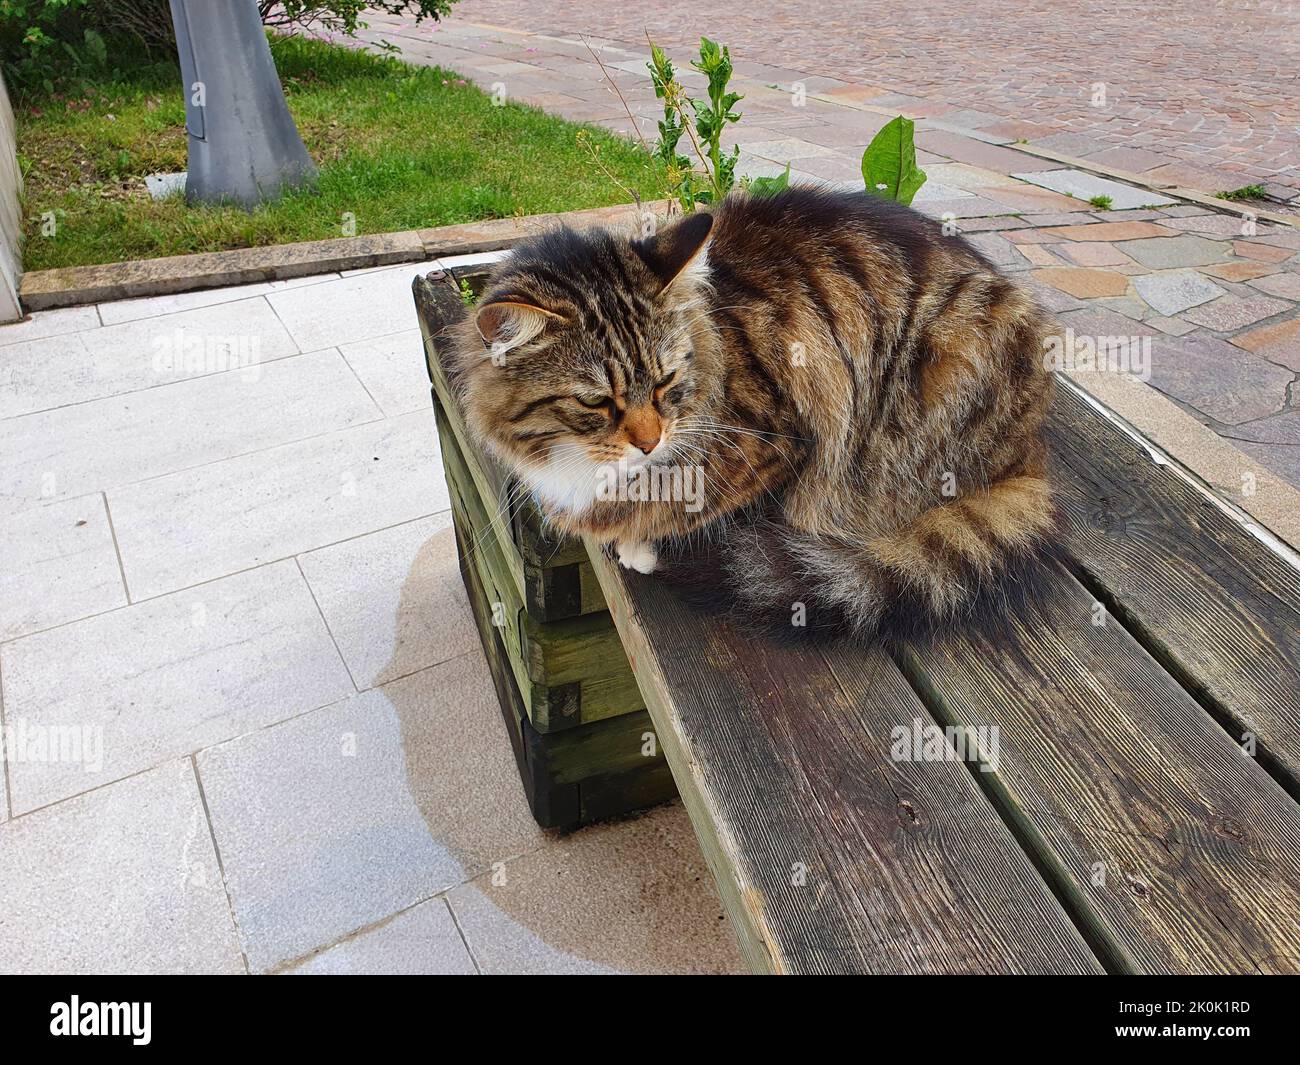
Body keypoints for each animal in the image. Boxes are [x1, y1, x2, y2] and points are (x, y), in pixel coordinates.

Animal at [447, 185, 1055, 642]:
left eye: (665, 381)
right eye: (596, 401)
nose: (649, 441)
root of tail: (1030, 450)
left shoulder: (786, 446)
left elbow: (714, 514)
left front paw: (642, 546)